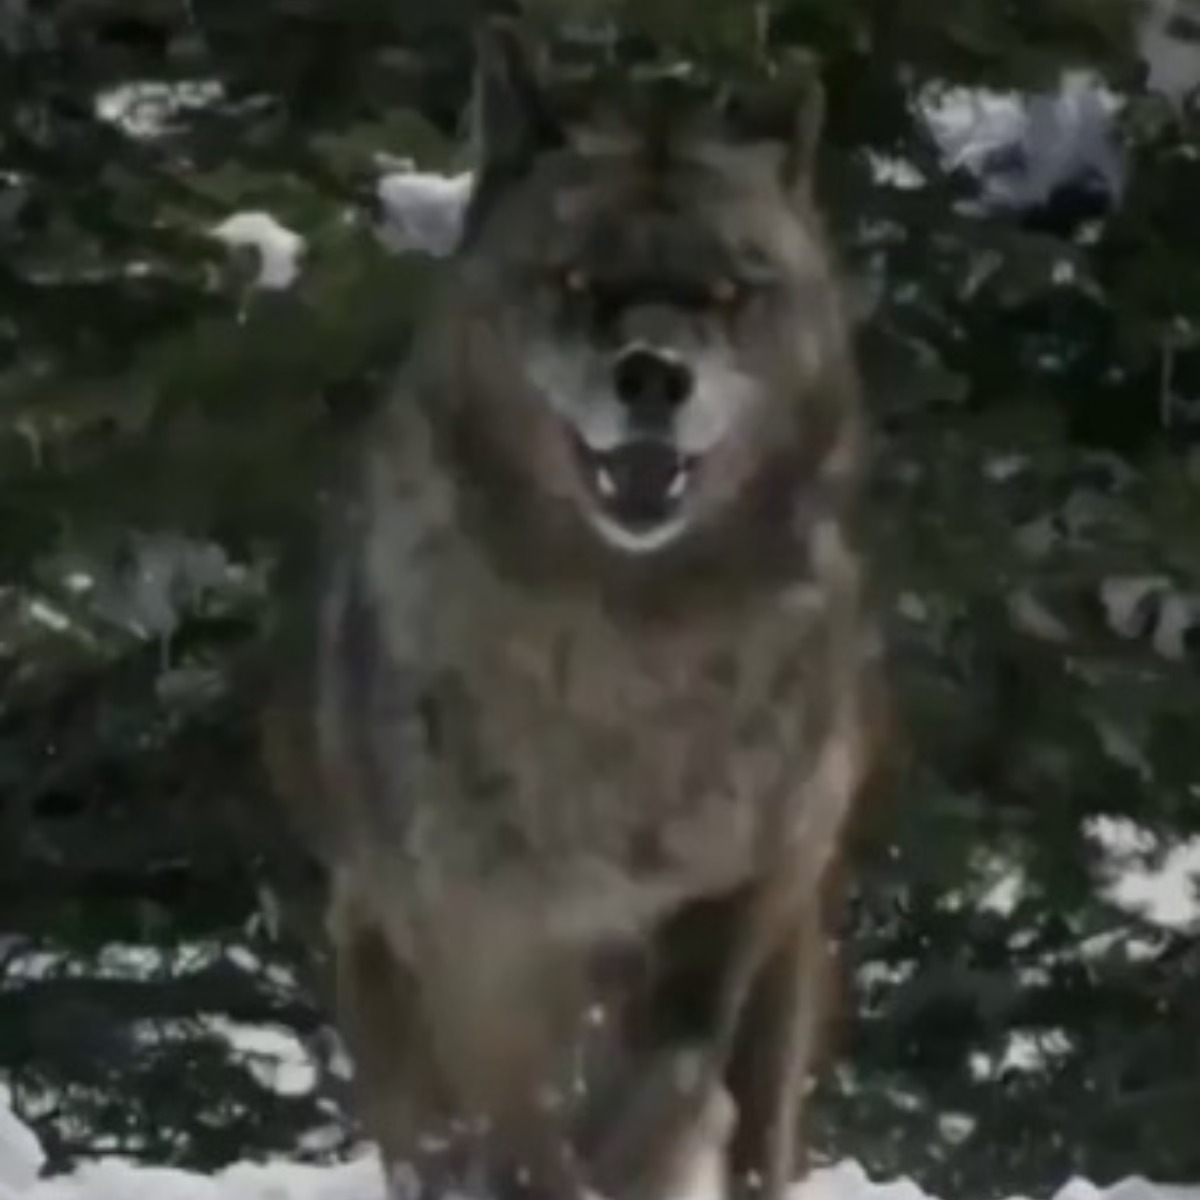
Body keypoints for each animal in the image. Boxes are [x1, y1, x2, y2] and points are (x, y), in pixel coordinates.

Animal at [262, 20, 886, 1200]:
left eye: (730, 294)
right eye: (577, 281)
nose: (653, 376)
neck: (625, 645)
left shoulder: (736, 896)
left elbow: (670, 1075)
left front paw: (634, 1149)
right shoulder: (487, 944)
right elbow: (523, 1133)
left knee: (750, 1119)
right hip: (381, 947)